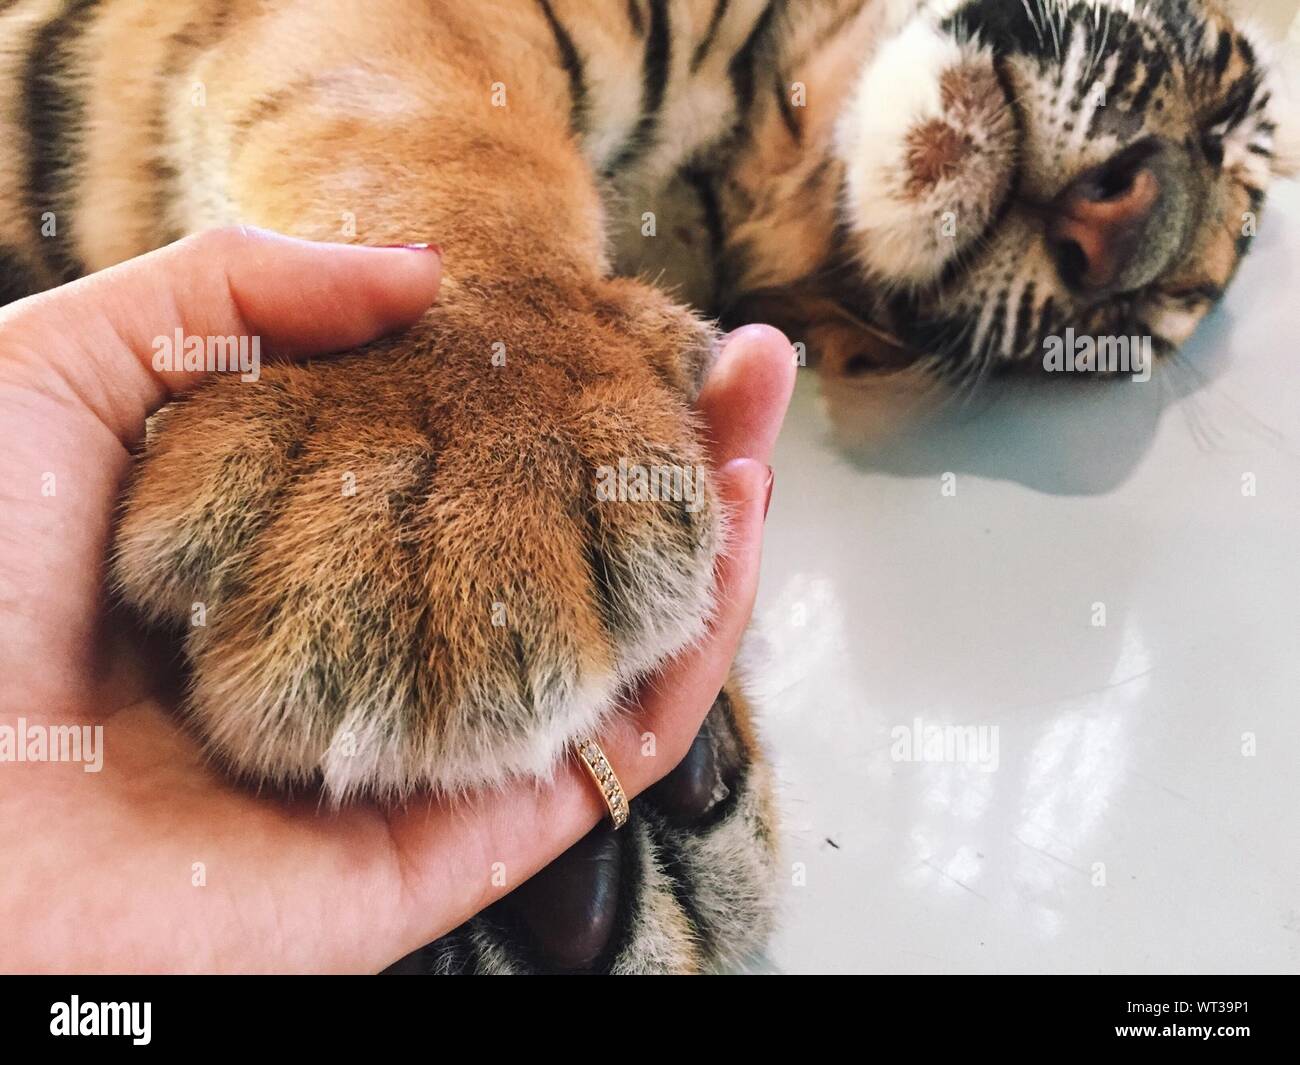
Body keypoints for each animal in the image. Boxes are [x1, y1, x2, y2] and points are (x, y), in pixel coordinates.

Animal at [0, 0, 1289, 974]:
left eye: (1129, 327)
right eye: (1228, 111)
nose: (1113, 248)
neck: (761, 153)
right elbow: (437, 147)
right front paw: (426, 513)